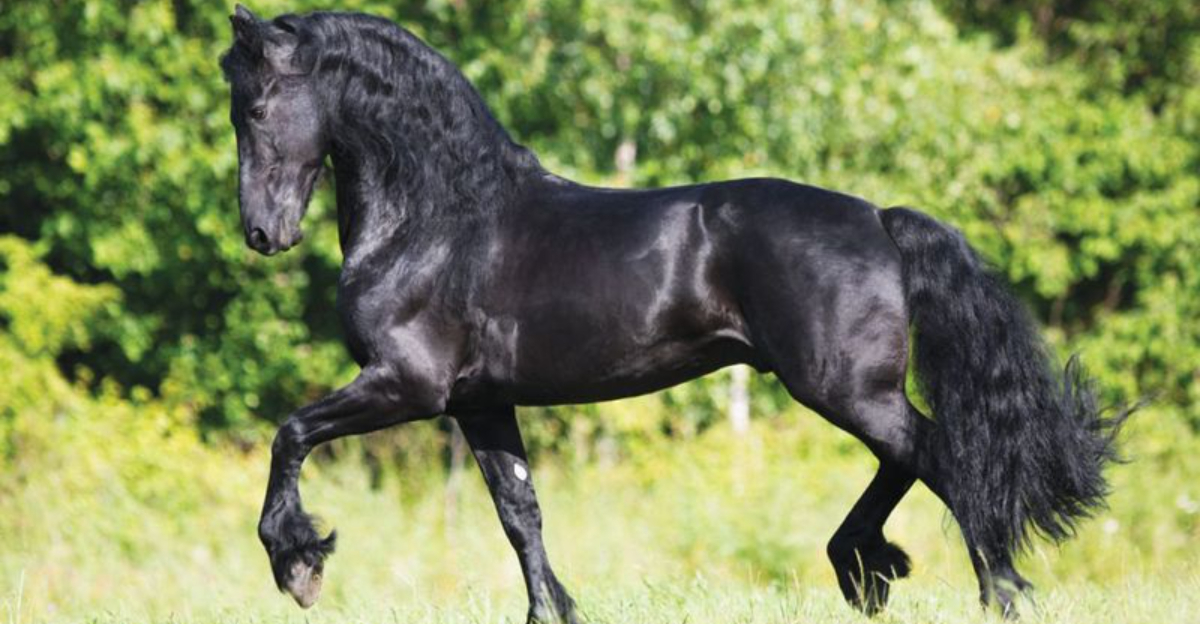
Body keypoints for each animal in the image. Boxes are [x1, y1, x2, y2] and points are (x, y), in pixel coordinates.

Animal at [220, 6, 1128, 622]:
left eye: (256, 108)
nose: (263, 234)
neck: (438, 222)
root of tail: (879, 217)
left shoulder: (405, 386)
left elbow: (289, 435)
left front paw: (298, 564)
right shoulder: (480, 404)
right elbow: (520, 513)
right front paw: (552, 611)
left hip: (841, 387)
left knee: (940, 456)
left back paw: (990, 588)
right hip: (850, 391)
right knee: (911, 459)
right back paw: (865, 564)